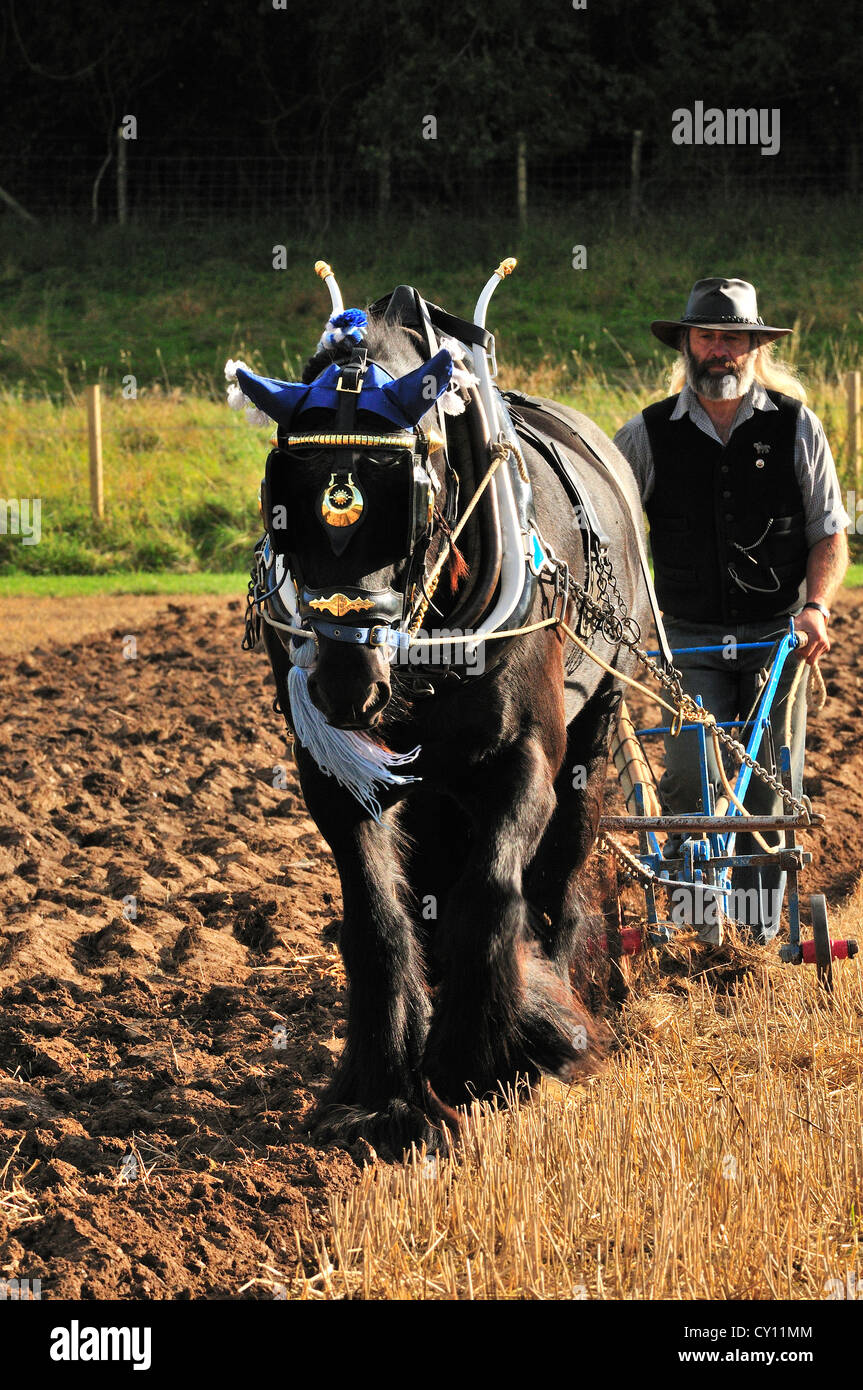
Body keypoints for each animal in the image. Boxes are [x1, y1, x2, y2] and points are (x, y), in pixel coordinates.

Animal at [233, 278, 650, 1159]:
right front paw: (381, 1094)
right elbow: (378, 916)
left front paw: (491, 1053)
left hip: (595, 725)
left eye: (406, 485)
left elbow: (489, 894)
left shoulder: (524, 755)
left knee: (556, 873)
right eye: (283, 488)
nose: (342, 679)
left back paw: (555, 1005)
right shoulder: (337, 772)